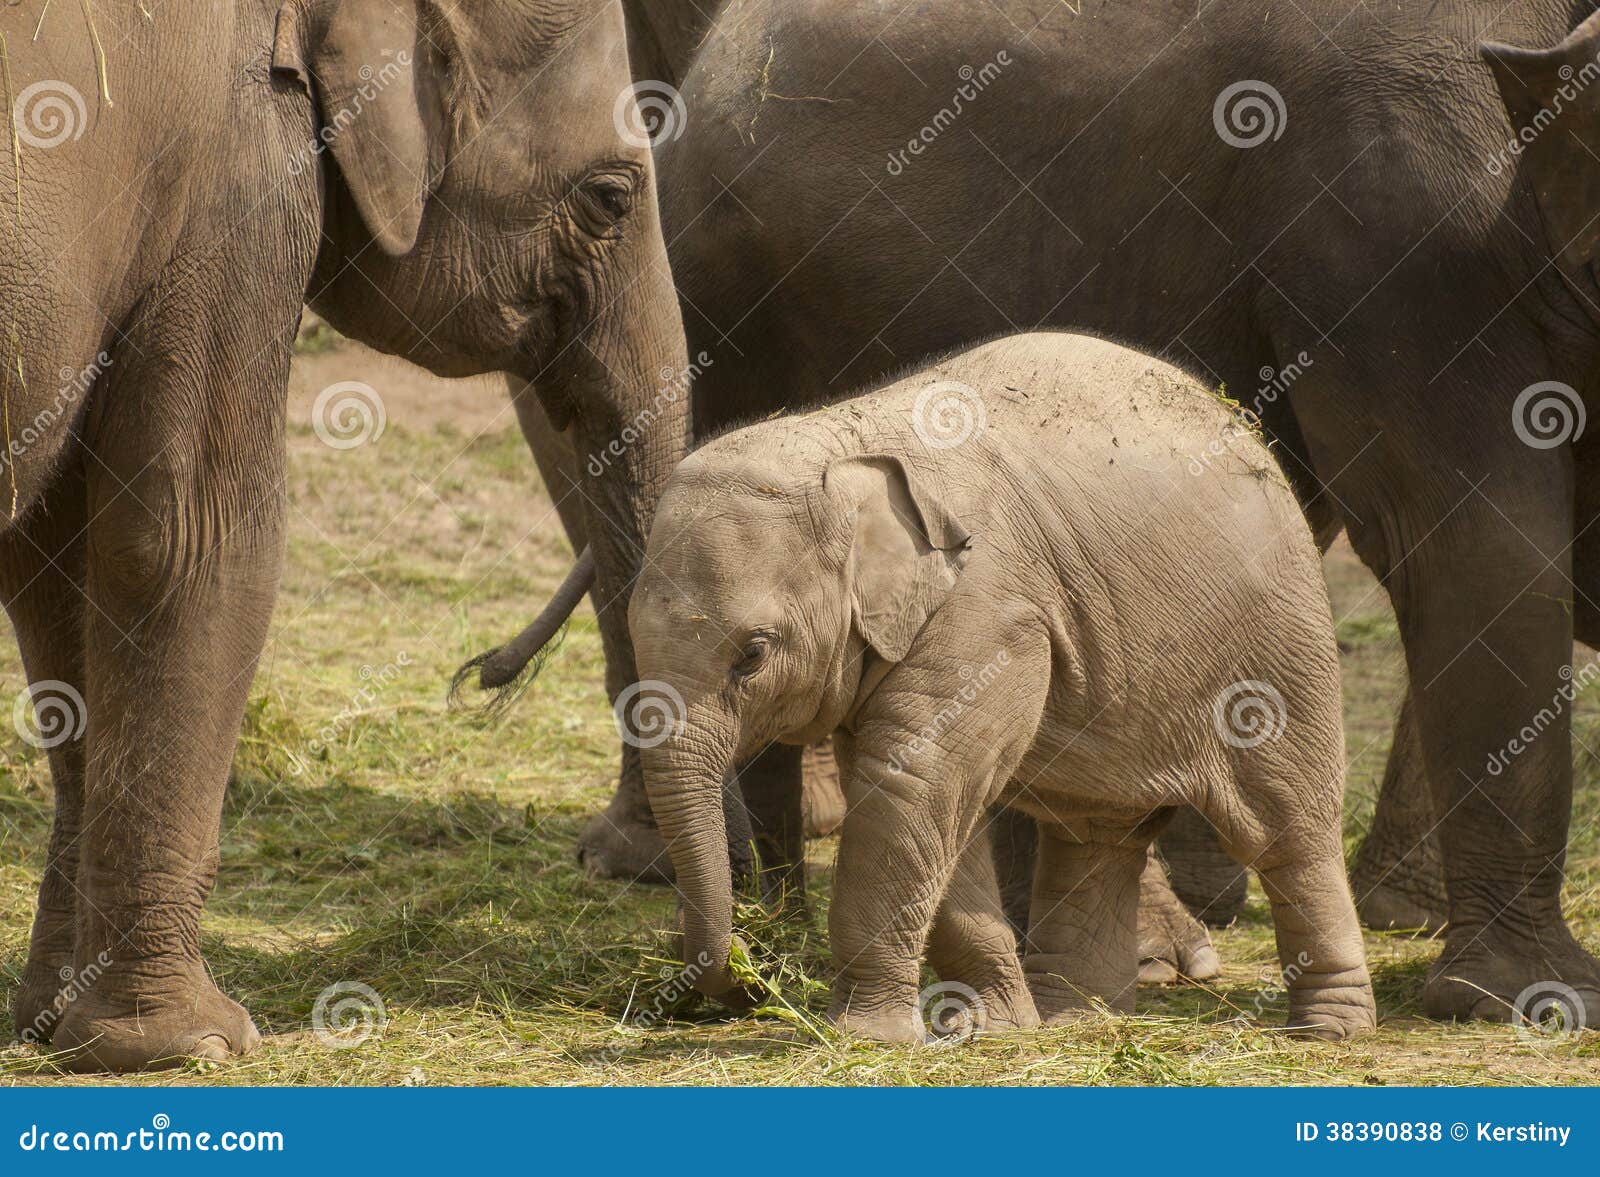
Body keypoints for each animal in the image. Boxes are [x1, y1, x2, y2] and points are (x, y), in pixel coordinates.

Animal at [1, 0, 688, 1071]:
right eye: (613, 196)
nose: (481, 674)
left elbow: (56, 555)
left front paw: (54, 1025)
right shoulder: (235, 170)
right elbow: (187, 537)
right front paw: (191, 1045)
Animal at [626, 333, 1376, 1043]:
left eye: (752, 654)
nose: (751, 977)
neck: (838, 442)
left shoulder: (987, 608)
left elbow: (908, 779)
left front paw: (868, 1037)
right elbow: (927, 799)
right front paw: (993, 1025)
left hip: (1276, 642)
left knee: (1285, 825)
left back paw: (1326, 1029)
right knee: (1096, 831)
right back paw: (1076, 1018)